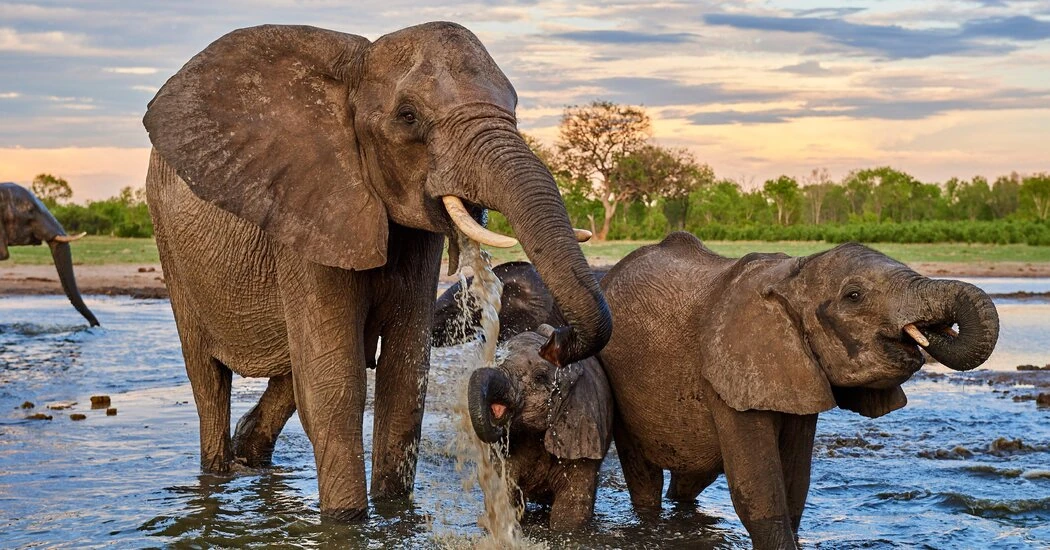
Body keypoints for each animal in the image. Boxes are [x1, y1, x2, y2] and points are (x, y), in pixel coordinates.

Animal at [597, 232, 999, 549]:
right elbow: (759, 491)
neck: (792, 276)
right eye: (854, 296)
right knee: (645, 477)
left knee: (694, 476)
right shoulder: (731, 367)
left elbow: (795, 483)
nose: (933, 330)